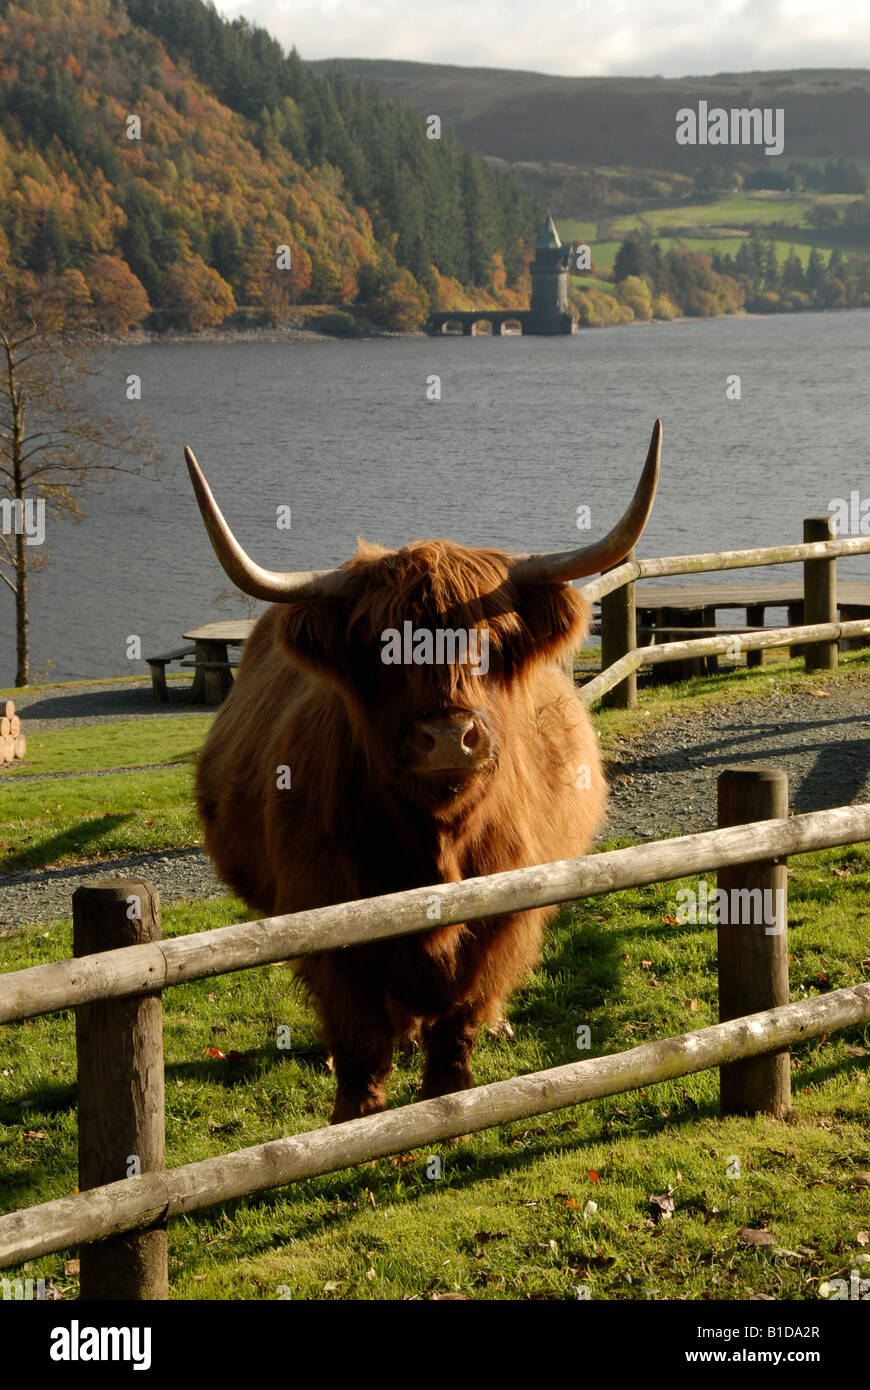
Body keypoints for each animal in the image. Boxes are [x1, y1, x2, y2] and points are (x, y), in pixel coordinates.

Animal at [186, 421, 661, 1124]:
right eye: (385, 647)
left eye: (491, 640)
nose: (447, 739)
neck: (439, 843)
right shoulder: (326, 924)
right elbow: (359, 1035)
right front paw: (355, 1118)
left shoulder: (505, 917)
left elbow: (460, 1015)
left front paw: (449, 1100)